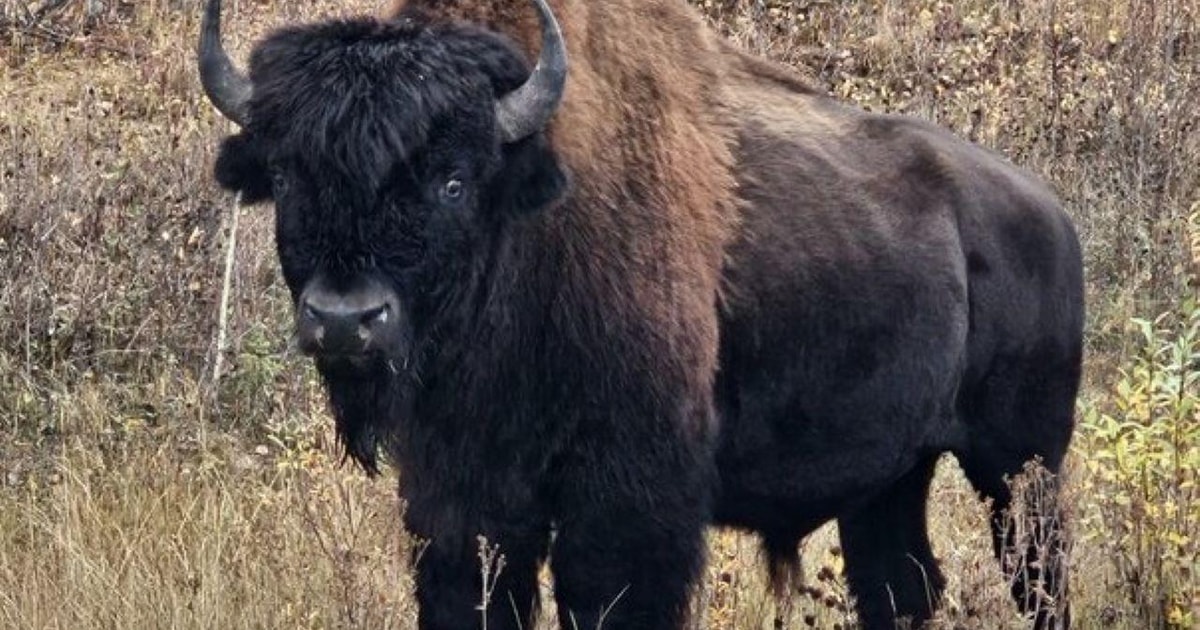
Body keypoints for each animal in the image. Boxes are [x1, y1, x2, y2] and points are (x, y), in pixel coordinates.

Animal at [197, 0, 1084, 628]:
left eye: (453, 180)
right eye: (290, 178)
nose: (346, 320)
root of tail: (1047, 214)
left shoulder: (627, 502)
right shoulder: (461, 500)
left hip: (1020, 467)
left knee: (1039, 579)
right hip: (896, 474)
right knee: (899, 585)